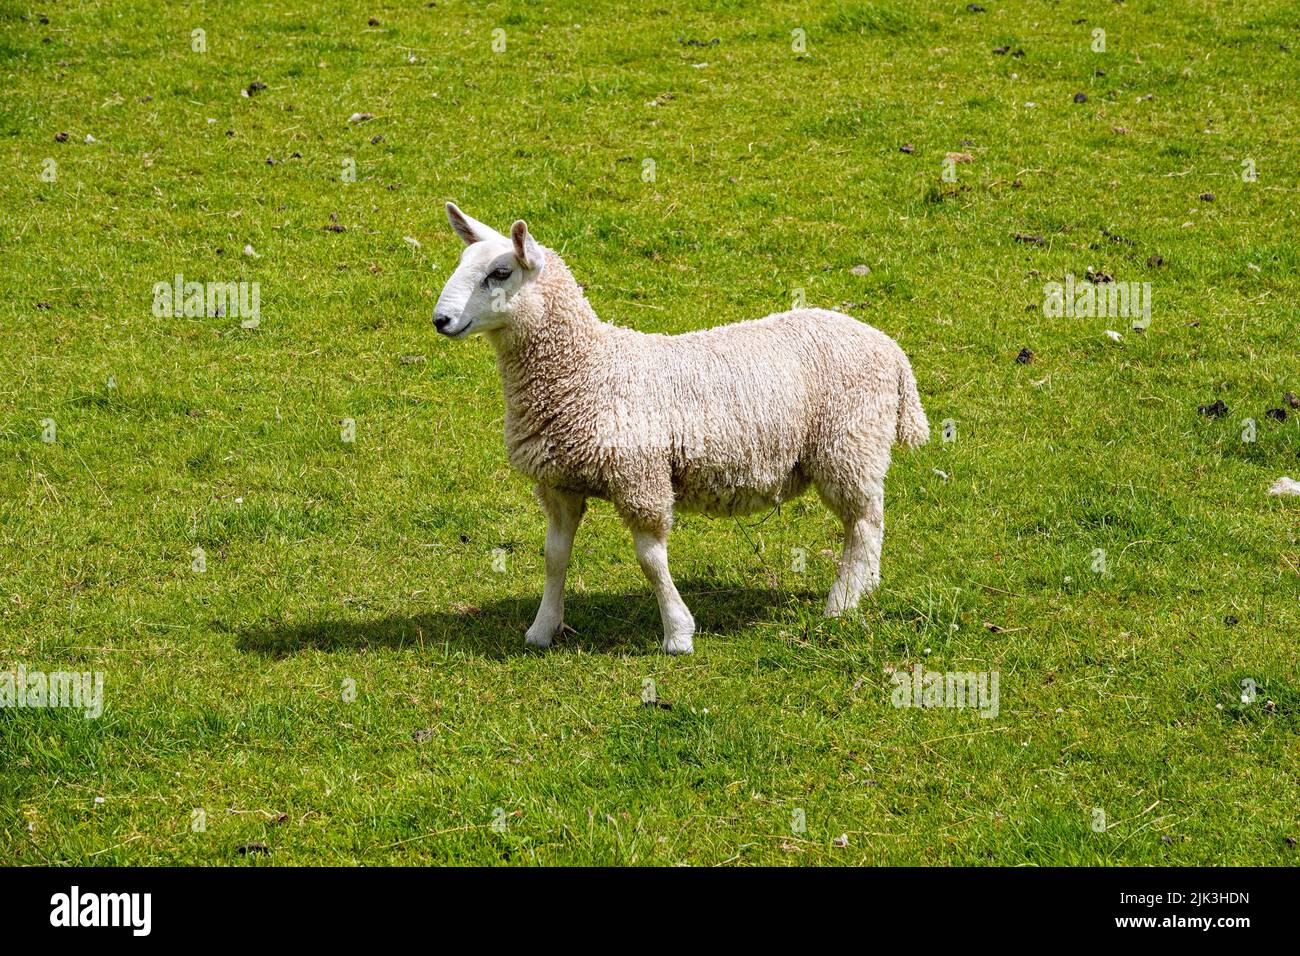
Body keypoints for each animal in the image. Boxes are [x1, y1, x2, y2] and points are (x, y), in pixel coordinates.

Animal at [433, 203, 929, 654]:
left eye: (500, 272)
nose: (441, 320)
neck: (587, 369)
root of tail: (890, 349)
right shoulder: (558, 485)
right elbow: (555, 557)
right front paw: (542, 629)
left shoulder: (641, 479)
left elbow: (650, 561)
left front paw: (677, 633)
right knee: (871, 520)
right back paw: (867, 588)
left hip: (848, 444)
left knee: (862, 522)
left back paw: (842, 604)